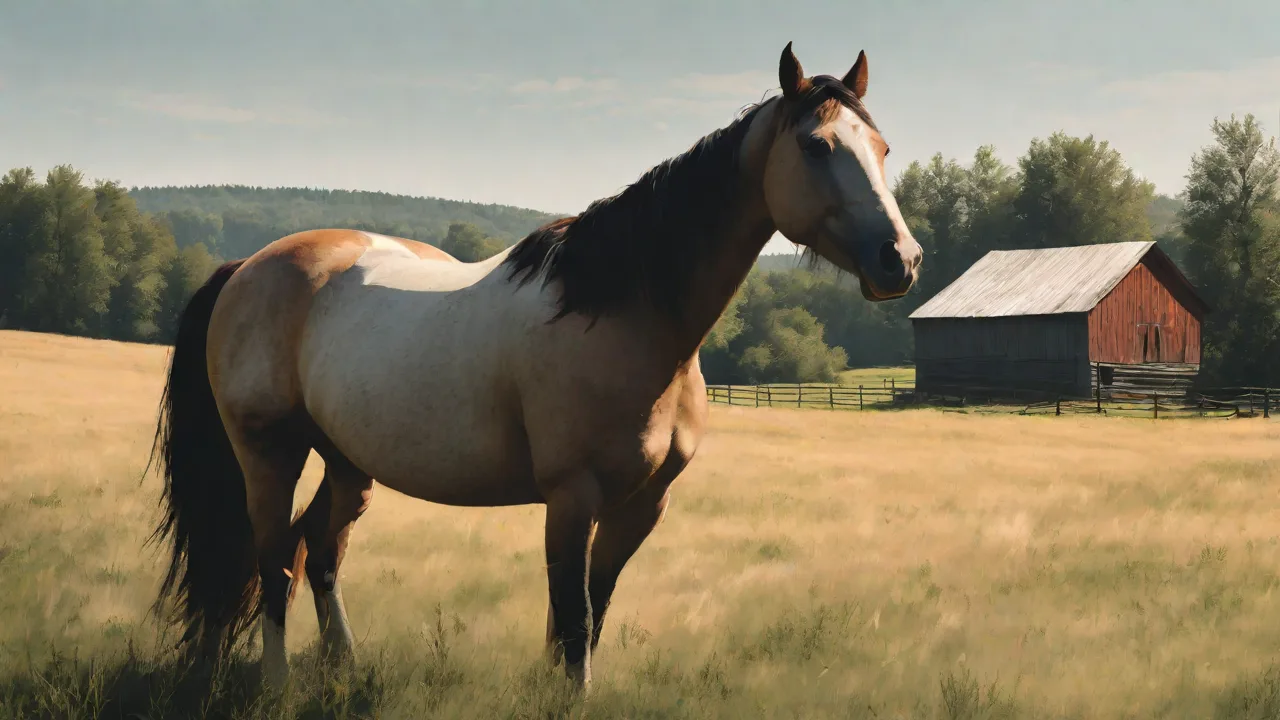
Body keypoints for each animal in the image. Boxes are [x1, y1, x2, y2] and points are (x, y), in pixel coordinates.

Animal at [147, 42, 922, 691]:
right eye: (816, 146)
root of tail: (247, 266)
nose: (901, 260)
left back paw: (344, 666)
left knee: (320, 549)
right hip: (268, 453)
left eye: (882, 147)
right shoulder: (571, 496)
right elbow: (572, 621)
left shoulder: (642, 506)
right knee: (275, 560)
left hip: (346, 462)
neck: (623, 313)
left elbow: (590, 614)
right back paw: (277, 684)